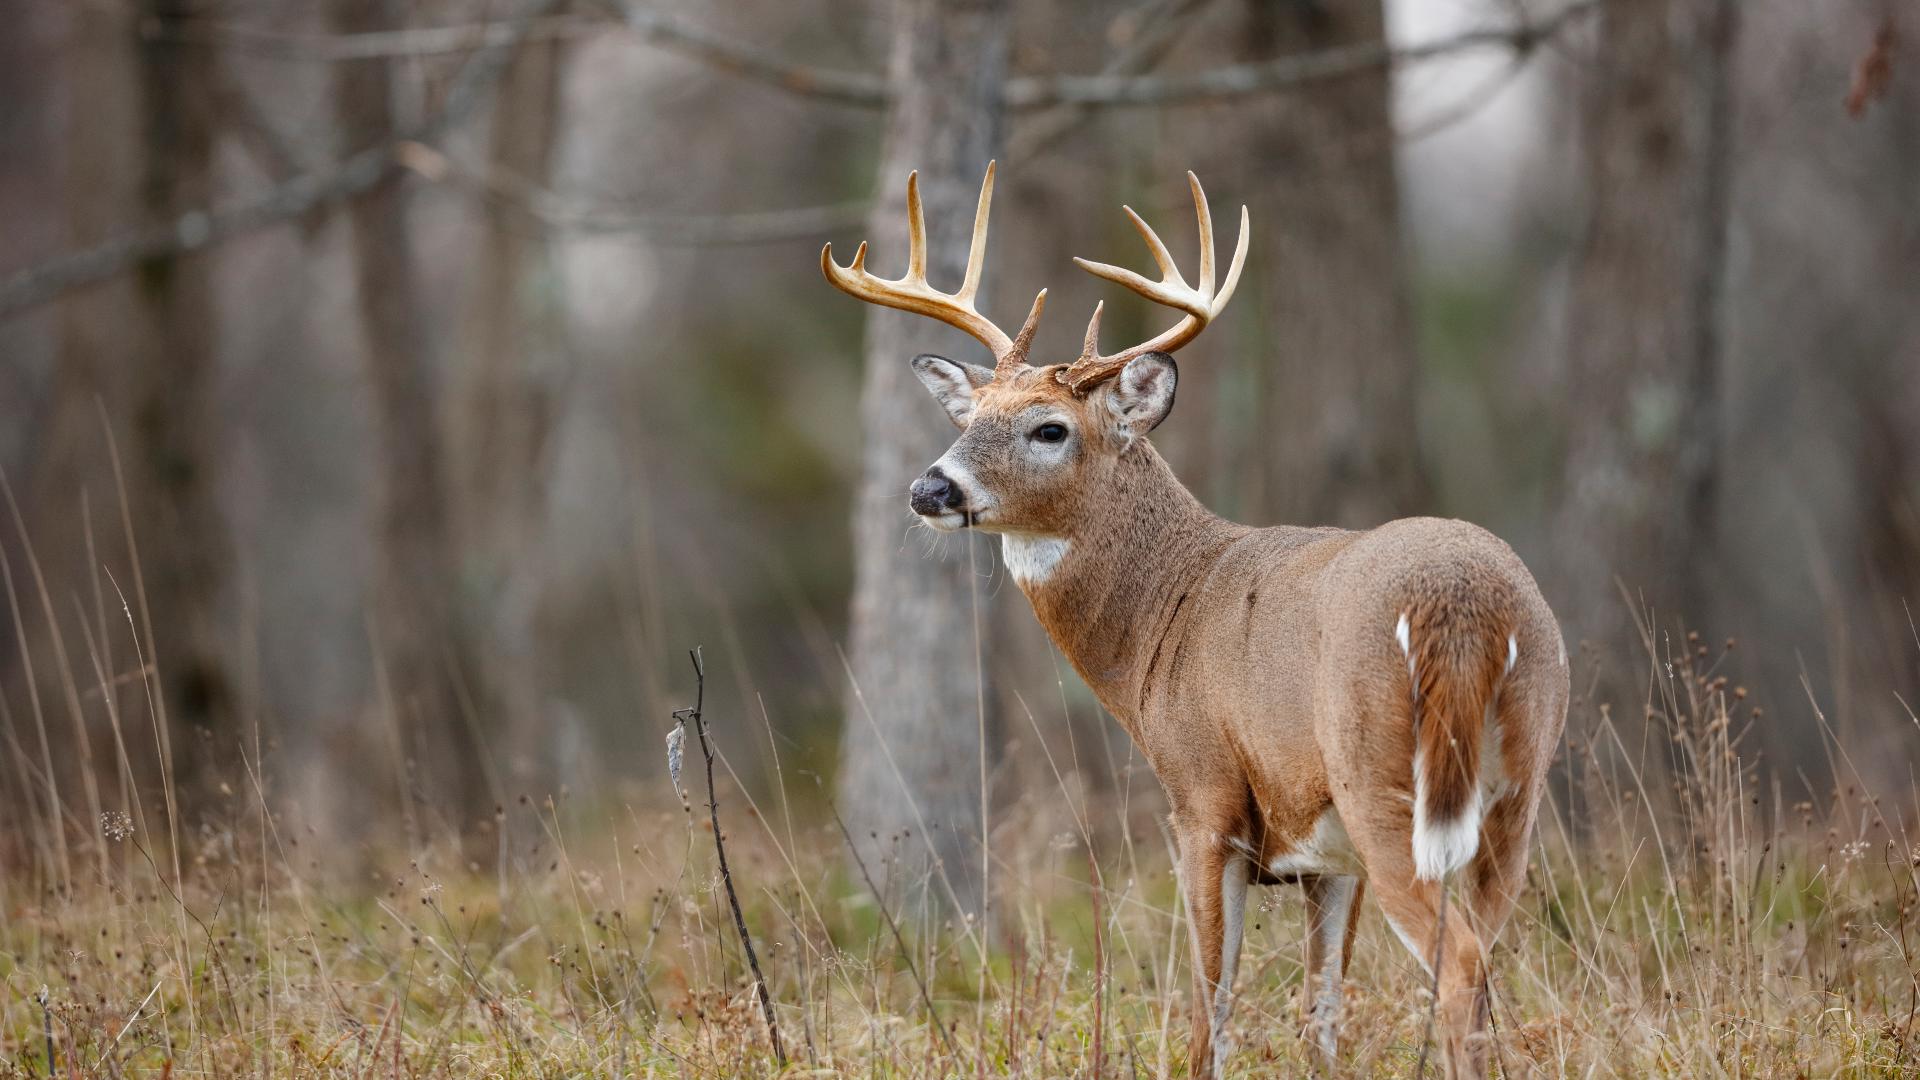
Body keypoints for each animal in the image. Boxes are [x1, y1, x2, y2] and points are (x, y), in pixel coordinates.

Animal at [823, 163, 1569, 1079]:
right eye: (970, 417)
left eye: (1049, 428)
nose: (930, 488)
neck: (1164, 619)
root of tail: (1464, 605)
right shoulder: (1325, 854)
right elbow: (1321, 1015)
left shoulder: (1203, 795)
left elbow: (1209, 1007)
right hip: (1517, 786)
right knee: (1487, 955)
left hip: (1382, 779)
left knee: (1460, 964)